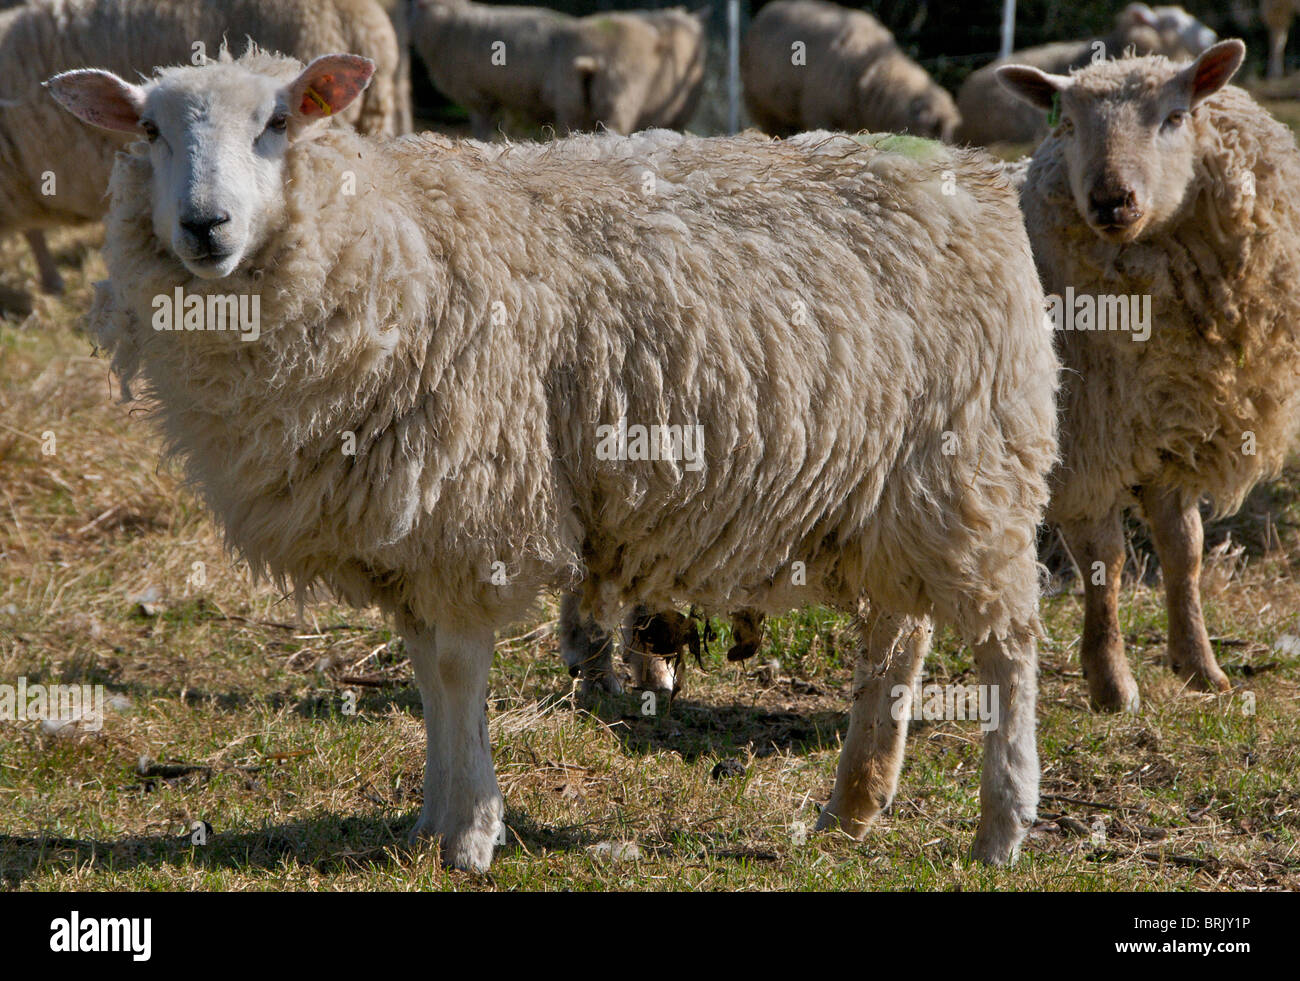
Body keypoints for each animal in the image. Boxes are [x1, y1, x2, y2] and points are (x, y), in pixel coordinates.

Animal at [51, 49, 1058, 870]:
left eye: (277, 122)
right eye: (149, 128)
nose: (206, 226)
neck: (389, 238)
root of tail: (972, 175)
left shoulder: (463, 502)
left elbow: (459, 669)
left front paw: (470, 834)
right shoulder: (408, 529)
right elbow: (425, 673)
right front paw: (431, 817)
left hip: (977, 463)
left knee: (1007, 644)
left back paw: (1001, 827)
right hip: (895, 481)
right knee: (899, 634)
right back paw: (852, 808)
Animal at [998, 40, 1300, 712]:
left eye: (1174, 116)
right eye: (1067, 123)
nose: (1112, 200)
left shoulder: (1173, 434)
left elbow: (1184, 551)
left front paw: (1200, 666)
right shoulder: (1085, 444)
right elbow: (1105, 562)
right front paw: (1112, 682)